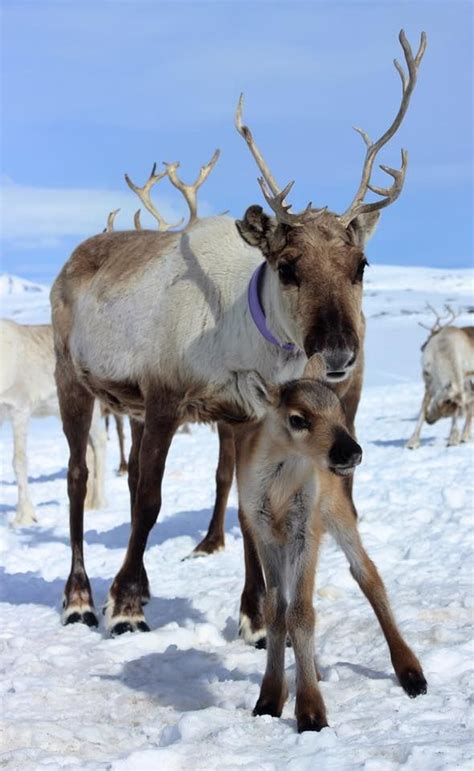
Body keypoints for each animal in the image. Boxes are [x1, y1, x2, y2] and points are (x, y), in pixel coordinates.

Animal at [0, 319, 107, 526]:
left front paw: (24, 518)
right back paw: (86, 505)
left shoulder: (19, 410)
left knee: (100, 442)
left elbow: (19, 462)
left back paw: (99, 503)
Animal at [50, 30, 426, 636]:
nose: (341, 351)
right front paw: (125, 604)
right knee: (78, 476)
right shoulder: (164, 396)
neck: (240, 340)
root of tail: (74, 256)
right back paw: (81, 597)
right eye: (288, 266)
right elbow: (149, 499)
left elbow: (248, 507)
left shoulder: (246, 414)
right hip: (72, 379)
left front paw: (255, 615)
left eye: (361, 264)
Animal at [237, 356, 427, 732]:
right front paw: (270, 698)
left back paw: (411, 672)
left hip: (338, 514)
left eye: (340, 411)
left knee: (367, 574)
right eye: (298, 419)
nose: (350, 452)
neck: (279, 492)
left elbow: (301, 613)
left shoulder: (305, 529)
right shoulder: (264, 533)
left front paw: (310, 711)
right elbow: (275, 611)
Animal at [406, 305, 474, 449]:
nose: (430, 421)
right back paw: (465, 435)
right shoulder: (428, 380)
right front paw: (412, 442)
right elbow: (423, 408)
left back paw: (464, 435)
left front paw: (453, 438)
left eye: (446, 414)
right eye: (439, 404)